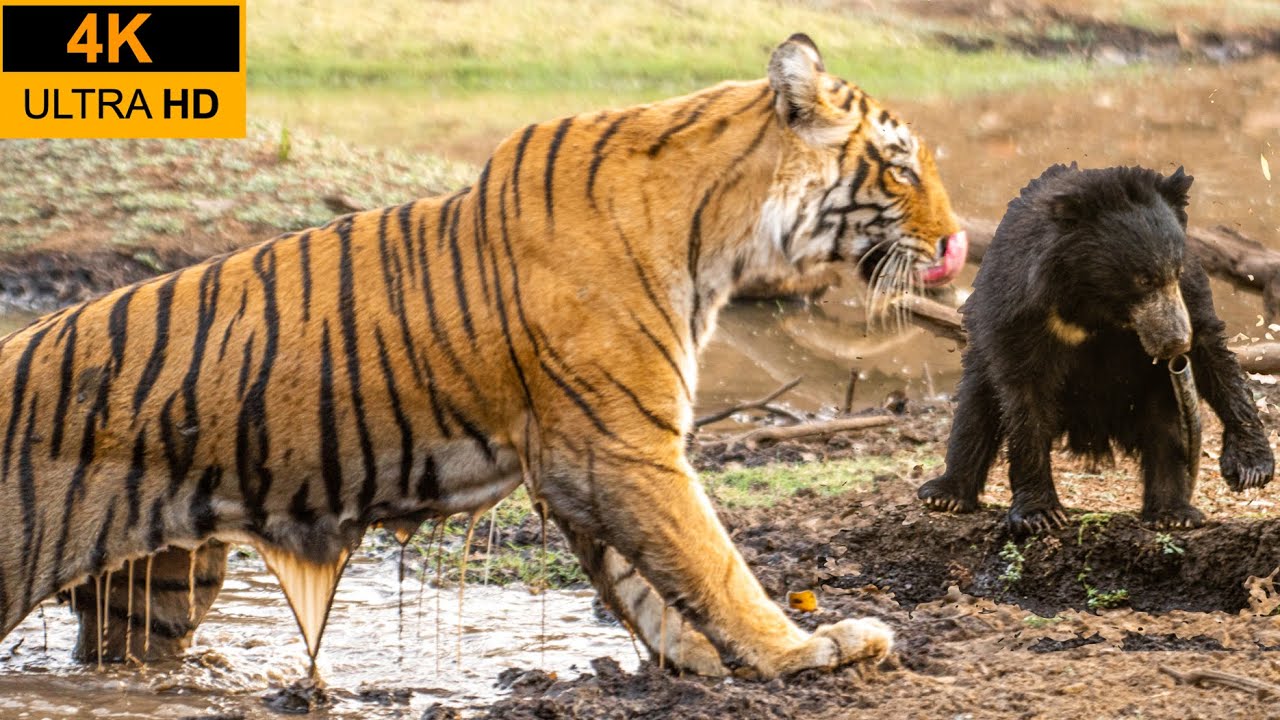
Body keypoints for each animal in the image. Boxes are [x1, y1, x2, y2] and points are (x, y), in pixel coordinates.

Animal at [0, 33, 964, 678]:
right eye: (901, 167)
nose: (958, 241)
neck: (719, 233)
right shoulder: (624, 447)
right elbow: (713, 562)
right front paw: (801, 649)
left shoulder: (593, 456)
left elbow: (654, 588)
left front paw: (708, 656)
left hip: (153, 591)